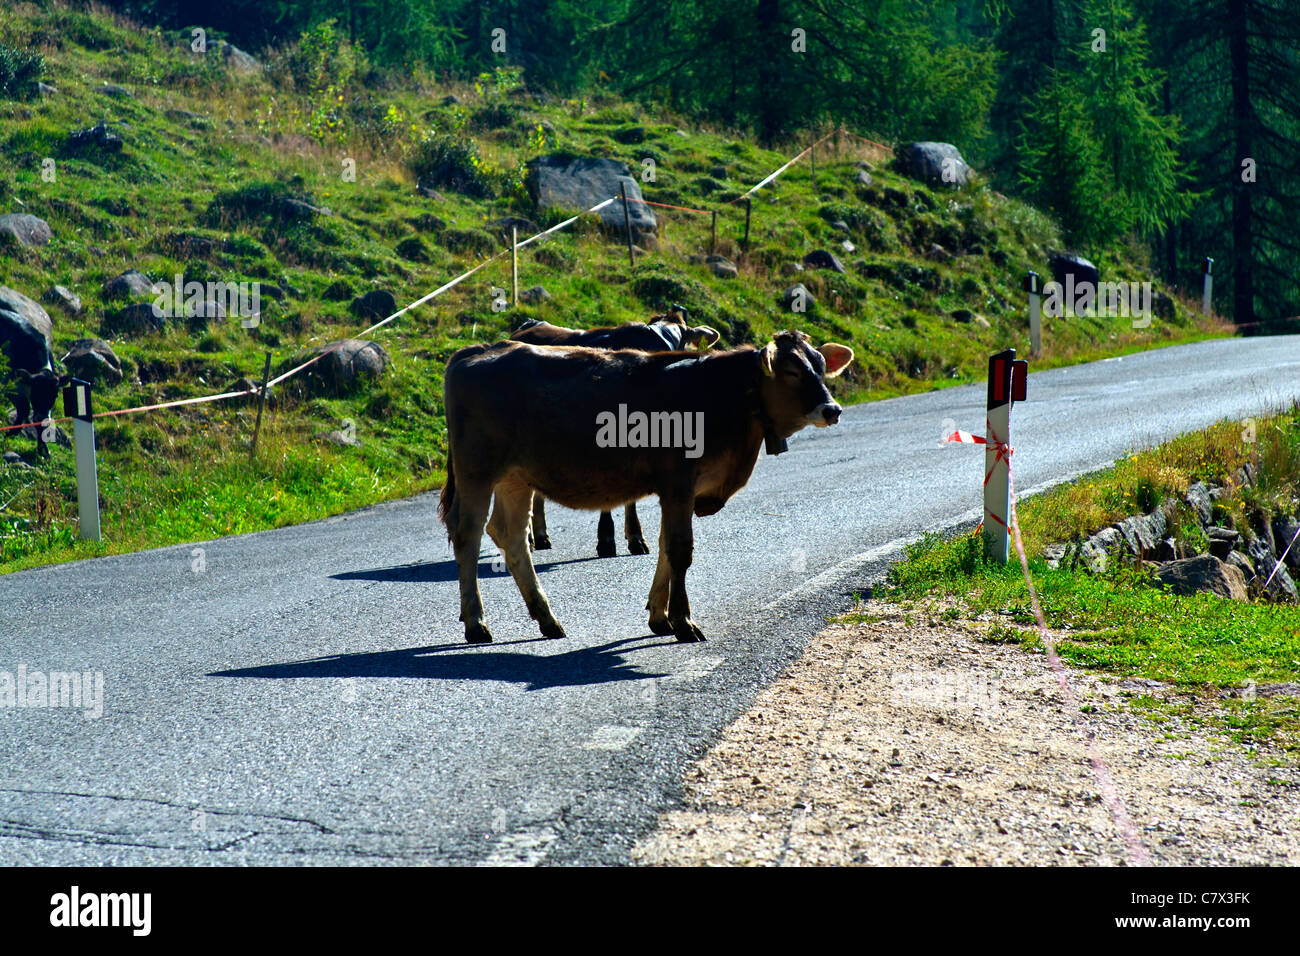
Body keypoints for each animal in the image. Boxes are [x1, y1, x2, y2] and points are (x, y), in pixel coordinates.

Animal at [1, 307, 62, 456]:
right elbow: (24, 410)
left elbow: (29, 414)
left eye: (55, 395)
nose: (43, 415)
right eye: (37, 393)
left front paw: (43, 449)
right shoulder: (9, 383)